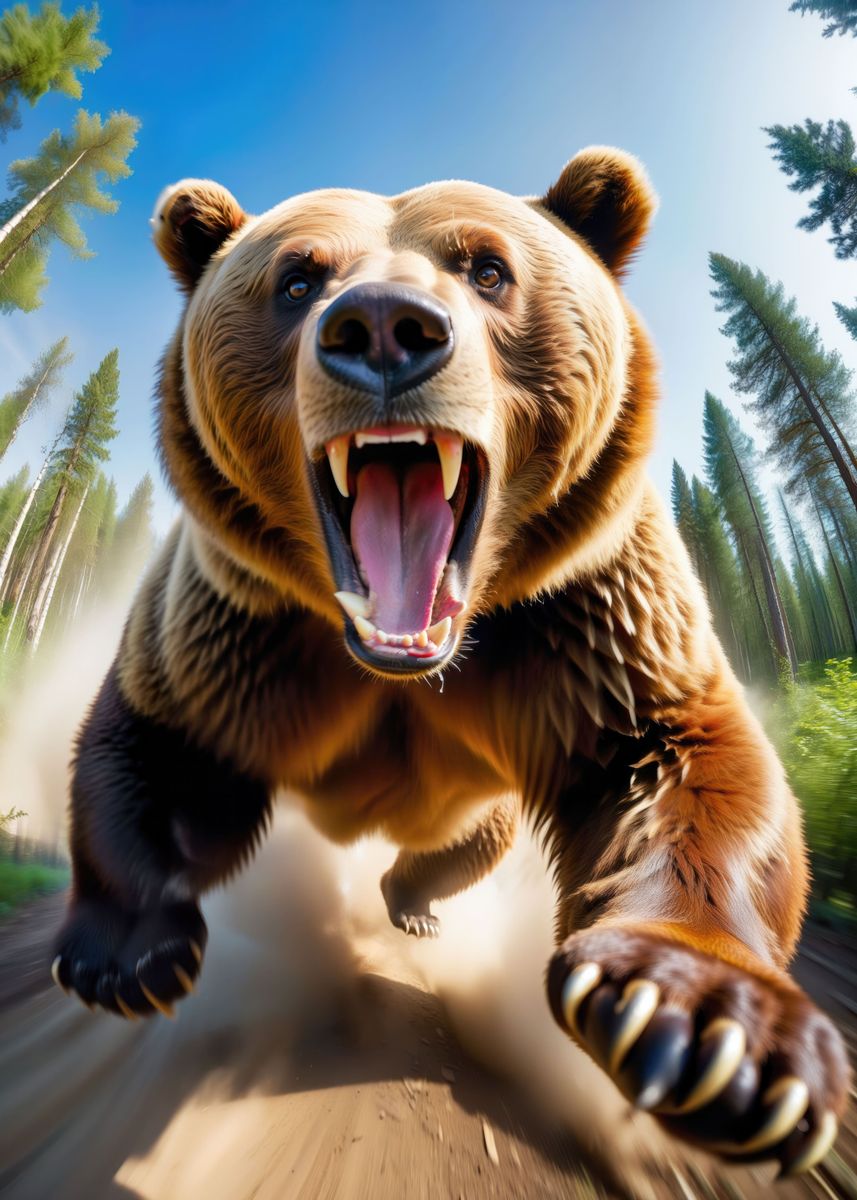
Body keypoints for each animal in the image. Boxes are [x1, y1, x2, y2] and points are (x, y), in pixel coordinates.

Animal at [51, 147, 849, 1176]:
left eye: (488, 269)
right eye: (296, 277)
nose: (385, 328)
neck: (408, 661)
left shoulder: (581, 624)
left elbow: (676, 760)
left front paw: (705, 1036)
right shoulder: (241, 629)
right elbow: (163, 746)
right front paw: (126, 954)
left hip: (483, 798)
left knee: (461, 847)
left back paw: (414, 900)